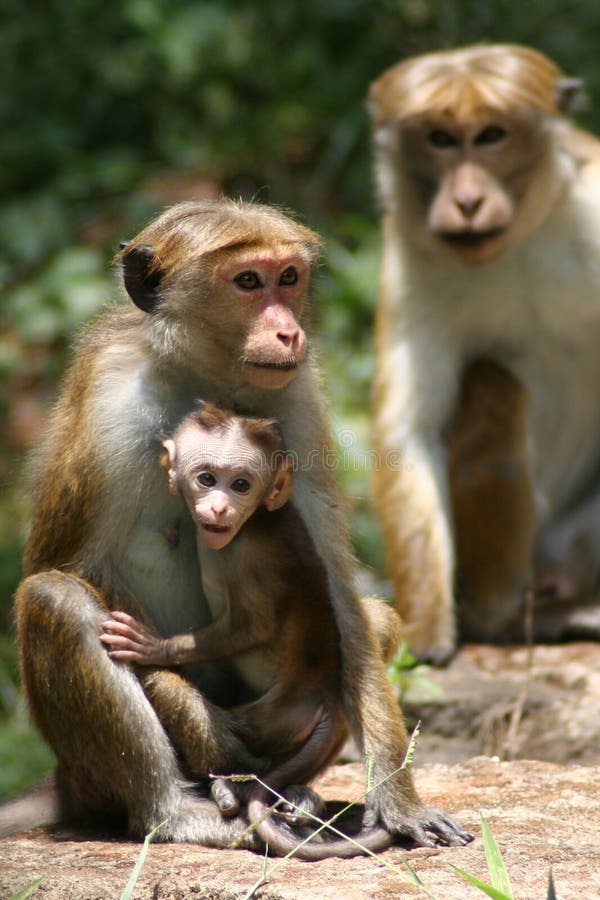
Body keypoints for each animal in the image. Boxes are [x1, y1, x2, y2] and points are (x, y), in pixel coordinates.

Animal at [100, 402, 398, 858]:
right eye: (207, 478)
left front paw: (155, 646)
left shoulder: (247, 554)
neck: (258, 517)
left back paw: (232, 788)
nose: (220, 508)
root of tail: (322, 691)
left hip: (273, 720)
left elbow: (252, 627)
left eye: (241, 484)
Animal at [369, 43, 600, 662]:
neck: (520, 240)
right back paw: (502, 609)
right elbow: (409, 431)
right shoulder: (411, 256)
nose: (467, 200)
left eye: (492, 136)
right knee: (492, 383)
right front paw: (423, 634)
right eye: (441, 140)